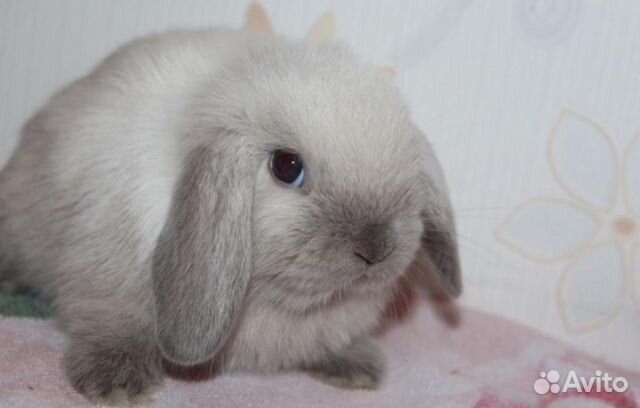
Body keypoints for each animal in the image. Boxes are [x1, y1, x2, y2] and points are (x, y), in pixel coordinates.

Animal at [0, 28, 461, 402]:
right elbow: (109, 321)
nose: (377, 247)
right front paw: (118, 383)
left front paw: (357, 368)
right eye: (287, 167)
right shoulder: (100, 274)